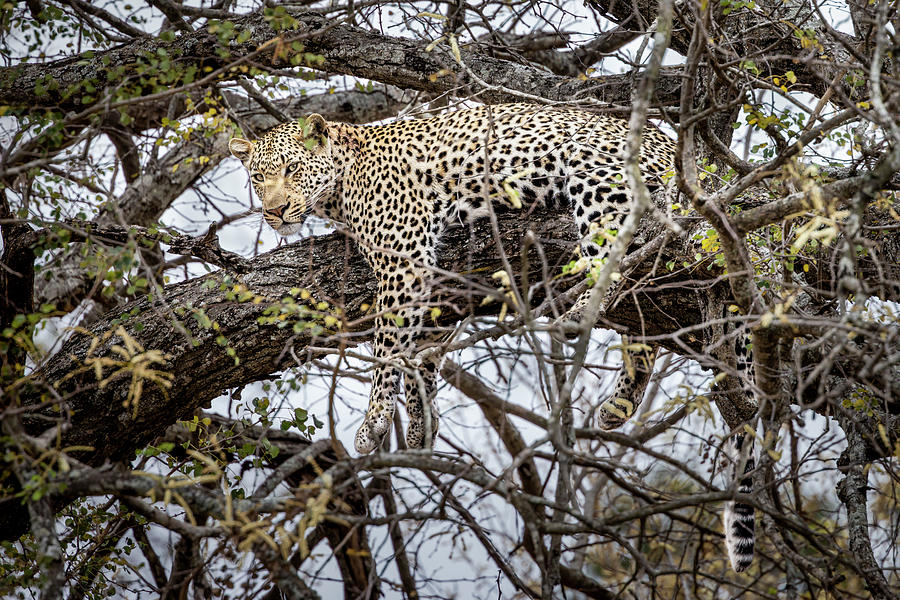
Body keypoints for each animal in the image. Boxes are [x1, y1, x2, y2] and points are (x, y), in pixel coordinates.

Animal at [229, 103, 755, 572]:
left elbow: (388, 349)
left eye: (294, 169)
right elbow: (421, 353)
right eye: (257, 178)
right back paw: (618, 404)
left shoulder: (404, 260)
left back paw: (578, 314)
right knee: (643, 303)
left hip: (598, 175)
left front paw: (374, 421)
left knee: (619, 256)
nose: (276, 212)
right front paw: (420, 424)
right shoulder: (432, 277)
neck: (339, 184)